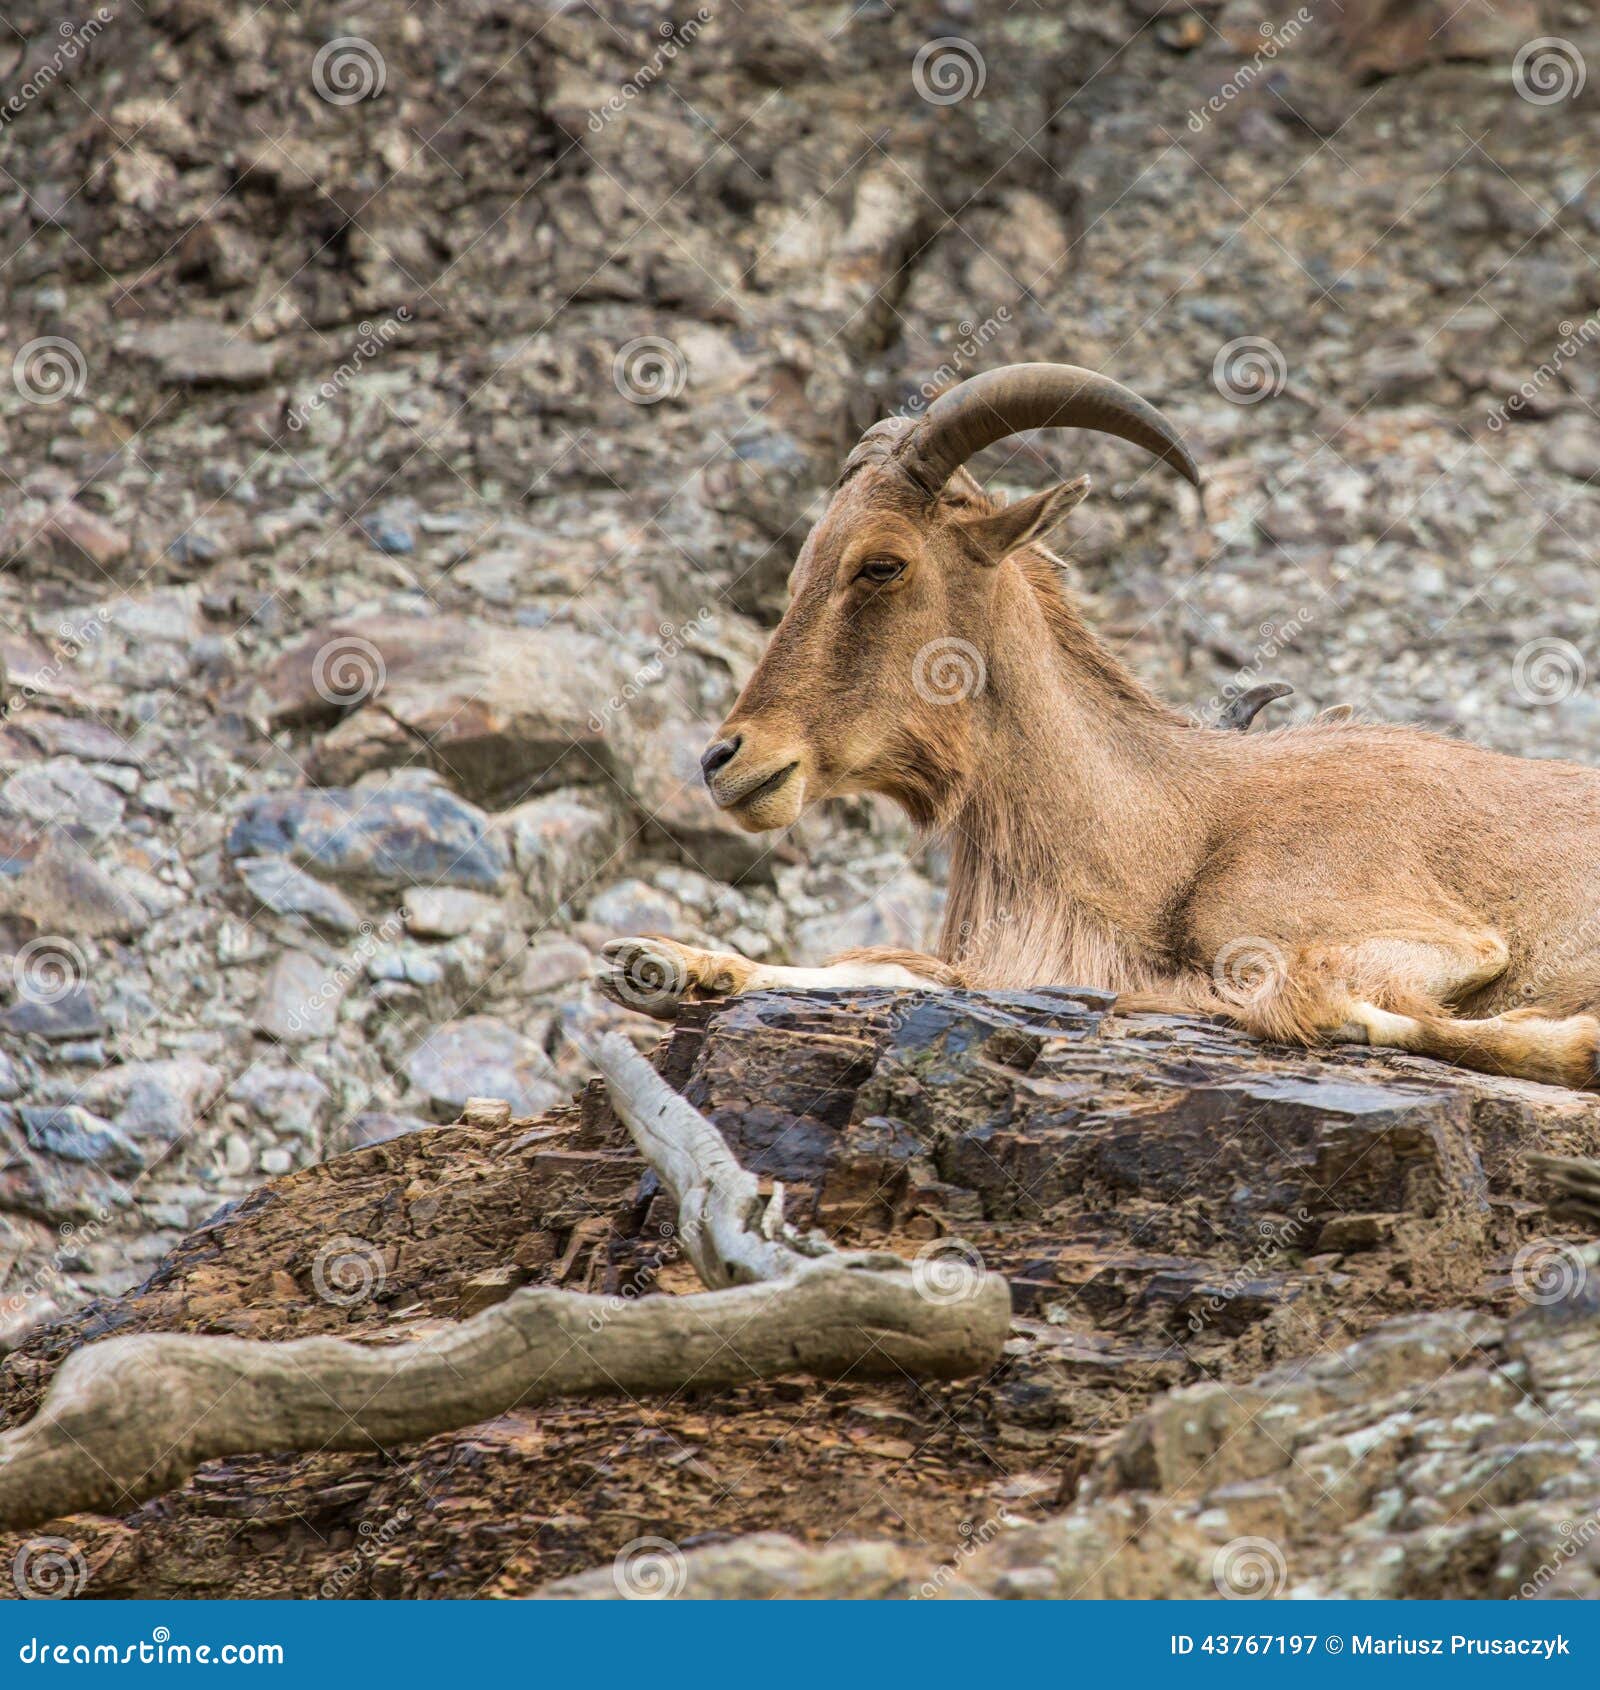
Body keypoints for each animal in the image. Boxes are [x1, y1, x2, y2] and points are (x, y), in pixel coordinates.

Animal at [597, 362, 1600, 1090]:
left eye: (881, 564)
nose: (725, 759)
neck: (1180, 827)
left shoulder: (1434, 939)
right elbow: (895, 967)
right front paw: (659, 964)